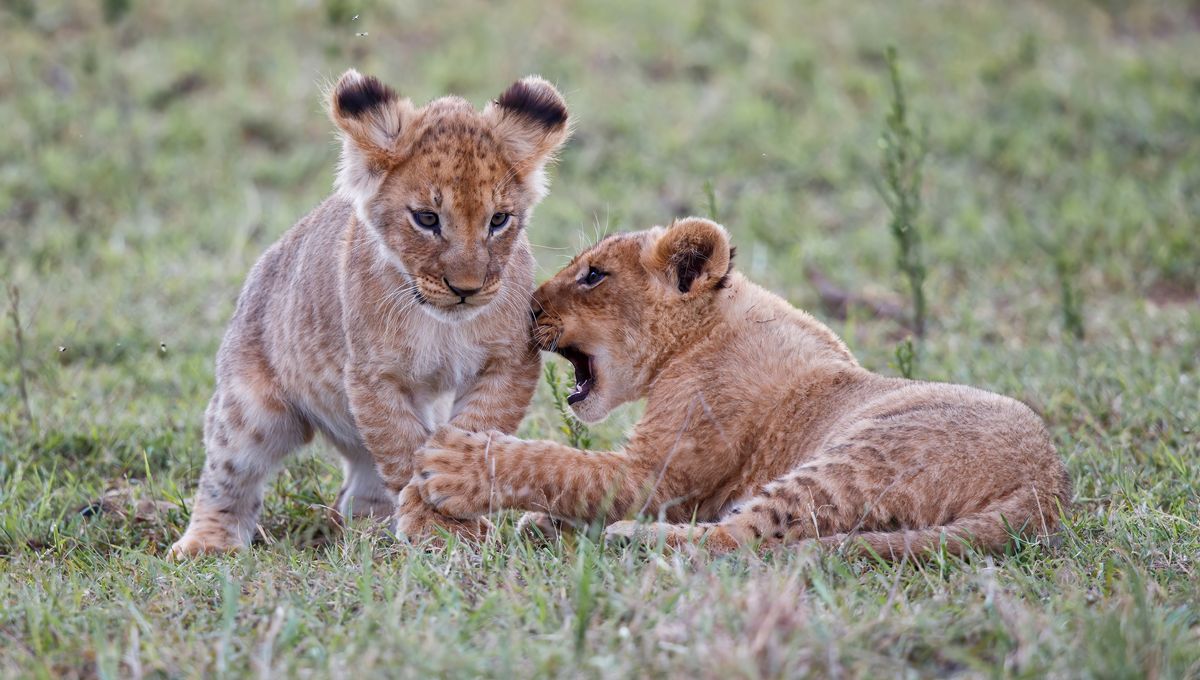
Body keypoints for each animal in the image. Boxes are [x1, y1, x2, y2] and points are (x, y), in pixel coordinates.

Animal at [169, 70, 570, 557]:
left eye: (498, 220)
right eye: (426, 219)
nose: (466, 289)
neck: (439, 323)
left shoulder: (510, 361)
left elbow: (477, 428)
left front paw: (450, 502)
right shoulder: (372, 374)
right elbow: (401, 446)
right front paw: (433, 525)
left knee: (356, 488)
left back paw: (370, 533)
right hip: (251, 407)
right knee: (226, 473)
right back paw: (206, 543)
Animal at [412, 217, 1071, 558]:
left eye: (594, 275)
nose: (527, 308)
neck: (703, 331)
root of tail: (1045, 490)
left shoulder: (661, 473)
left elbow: (567, 467)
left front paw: (458, 465)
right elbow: (578, 483)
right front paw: (542, 521)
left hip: (858, 455)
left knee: (742, 538)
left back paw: (632, 539)